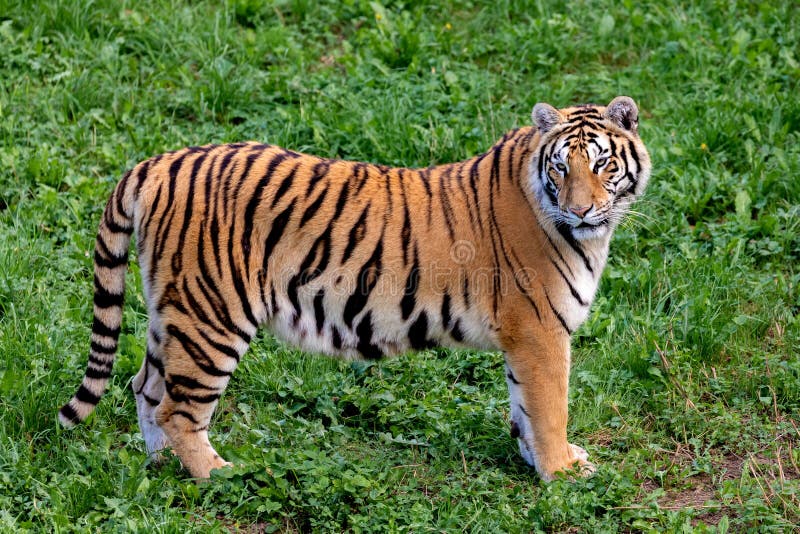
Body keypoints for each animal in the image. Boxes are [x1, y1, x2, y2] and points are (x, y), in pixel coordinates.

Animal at [59, 96, 651, 482]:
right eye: (562, 167)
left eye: (602, 164)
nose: (581, 210)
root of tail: (162, 161)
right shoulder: (539, 331)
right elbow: (549, 408)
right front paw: (562, 474)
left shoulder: (526, 337)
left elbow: (524, 408)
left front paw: (535, 462)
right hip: (211, 318)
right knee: (178, 410)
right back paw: (219, 476)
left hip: (174, 310)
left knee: (145, 387)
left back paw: (159, 466)